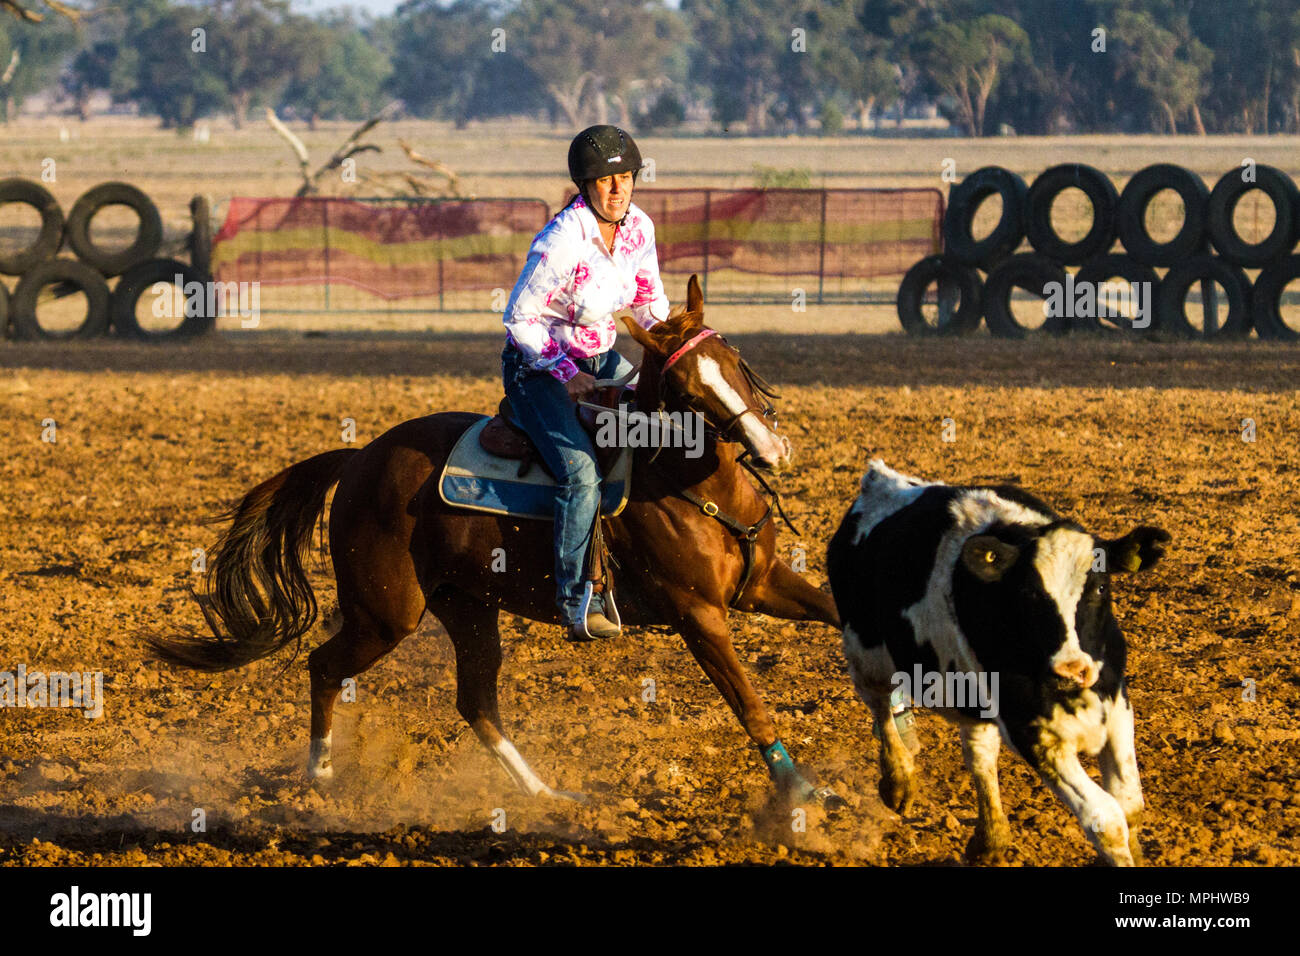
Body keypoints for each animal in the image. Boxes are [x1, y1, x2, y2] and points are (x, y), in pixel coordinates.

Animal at [148, 275, 844, 808]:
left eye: (732, 353)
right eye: (684, 391)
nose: (771, 448)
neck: (687, 484)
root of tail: (359, 459)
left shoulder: (762, 585)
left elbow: (836, 612)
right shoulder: (698, 614)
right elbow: (749, 703)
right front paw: (804, 794)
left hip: (468, 607)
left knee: (477, 702)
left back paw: (544, 795)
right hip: (385, 613)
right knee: (325, 666)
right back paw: (318, 775)